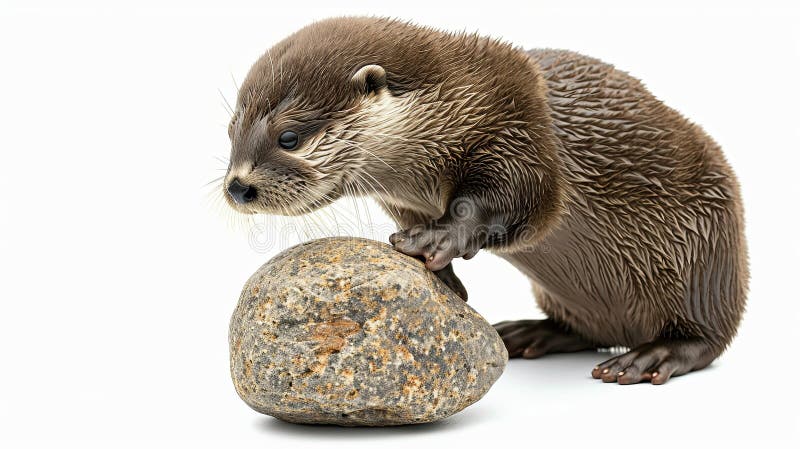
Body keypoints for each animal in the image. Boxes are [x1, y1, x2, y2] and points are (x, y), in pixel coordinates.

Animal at [222, 17, 748, 385]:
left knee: (708, 336)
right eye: (231, 132)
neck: (457, 102)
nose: (237, 186)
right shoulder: (404, 195)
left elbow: (524, 199)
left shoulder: (518, 128)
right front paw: (448, 278)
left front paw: (439, 239)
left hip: (706, 259)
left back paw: (652, 356)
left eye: (289, 137)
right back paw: (532, 332)